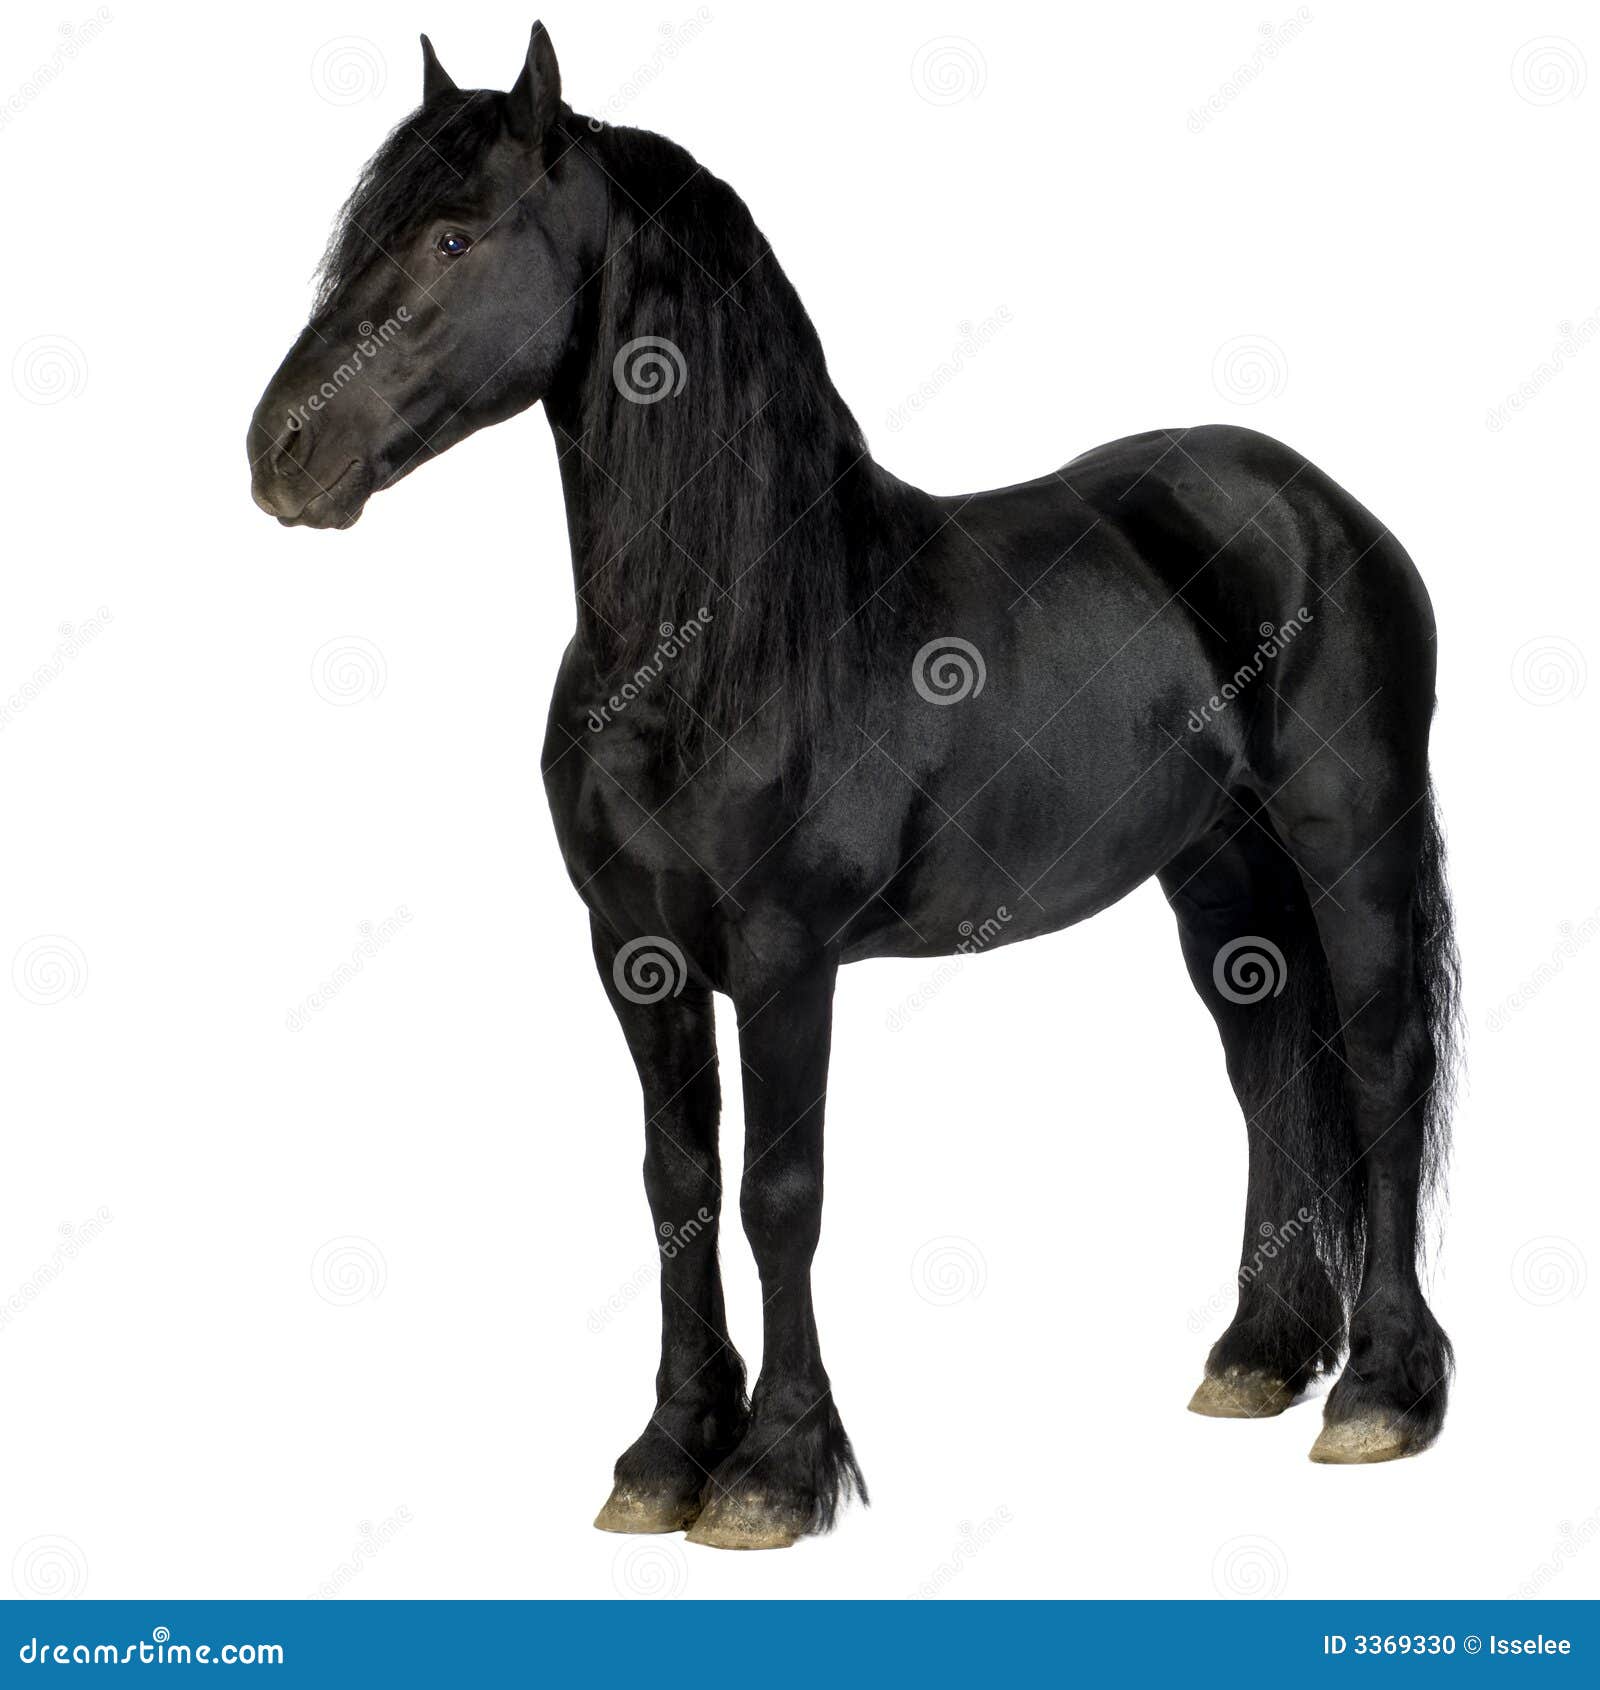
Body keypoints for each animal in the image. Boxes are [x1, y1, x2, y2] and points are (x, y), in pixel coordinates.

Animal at [248, 25, 1461, 1550]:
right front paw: (665, 1455)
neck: (728, 638)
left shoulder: (785, 957)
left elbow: (781, 1193)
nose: (278, 455)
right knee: (1270, 1076)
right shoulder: (634, 954)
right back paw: (1255, 1358)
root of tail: (1319, 508)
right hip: (1220, 876)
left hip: (1348, 843)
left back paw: (1382, 1393)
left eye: (456, 235)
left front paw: (771, 1471)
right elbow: (679, 1186)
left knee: (1381, 1065)